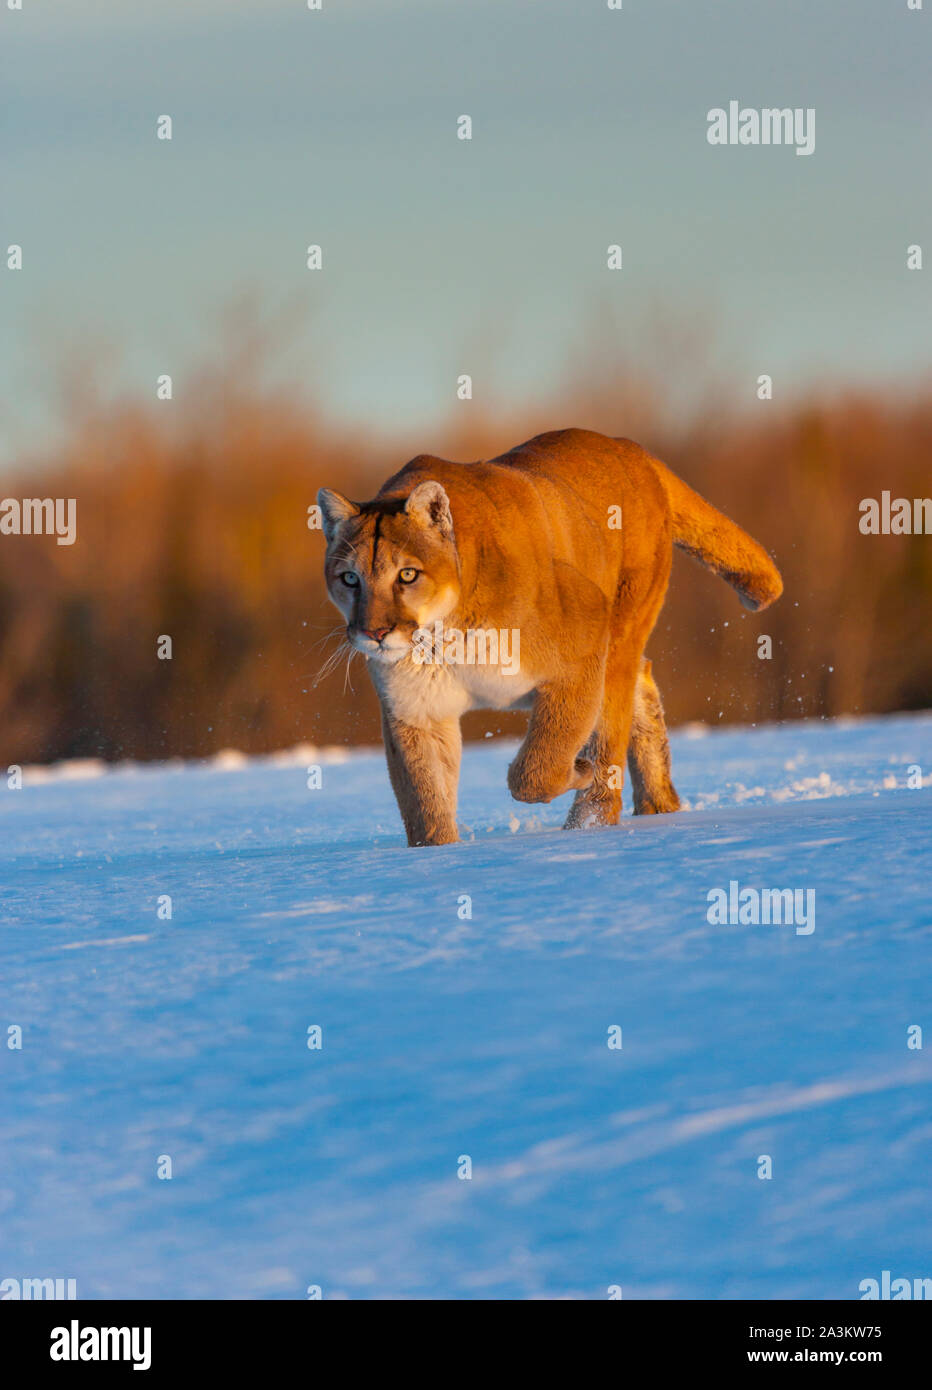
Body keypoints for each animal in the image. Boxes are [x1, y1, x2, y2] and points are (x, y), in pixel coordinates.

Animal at [318, 428, 782, 846]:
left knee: (613, 726)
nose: (375, 632)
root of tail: (628, 446)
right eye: (349, 578)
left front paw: (578, 771)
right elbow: (425, 803)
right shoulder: (416, 711)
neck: (442, 635)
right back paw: (657, 806)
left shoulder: (581, 647)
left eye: (408, 575)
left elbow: (536, 767)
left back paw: (591, 821)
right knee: (643, 681)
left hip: (618, 632)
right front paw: (439, 855)